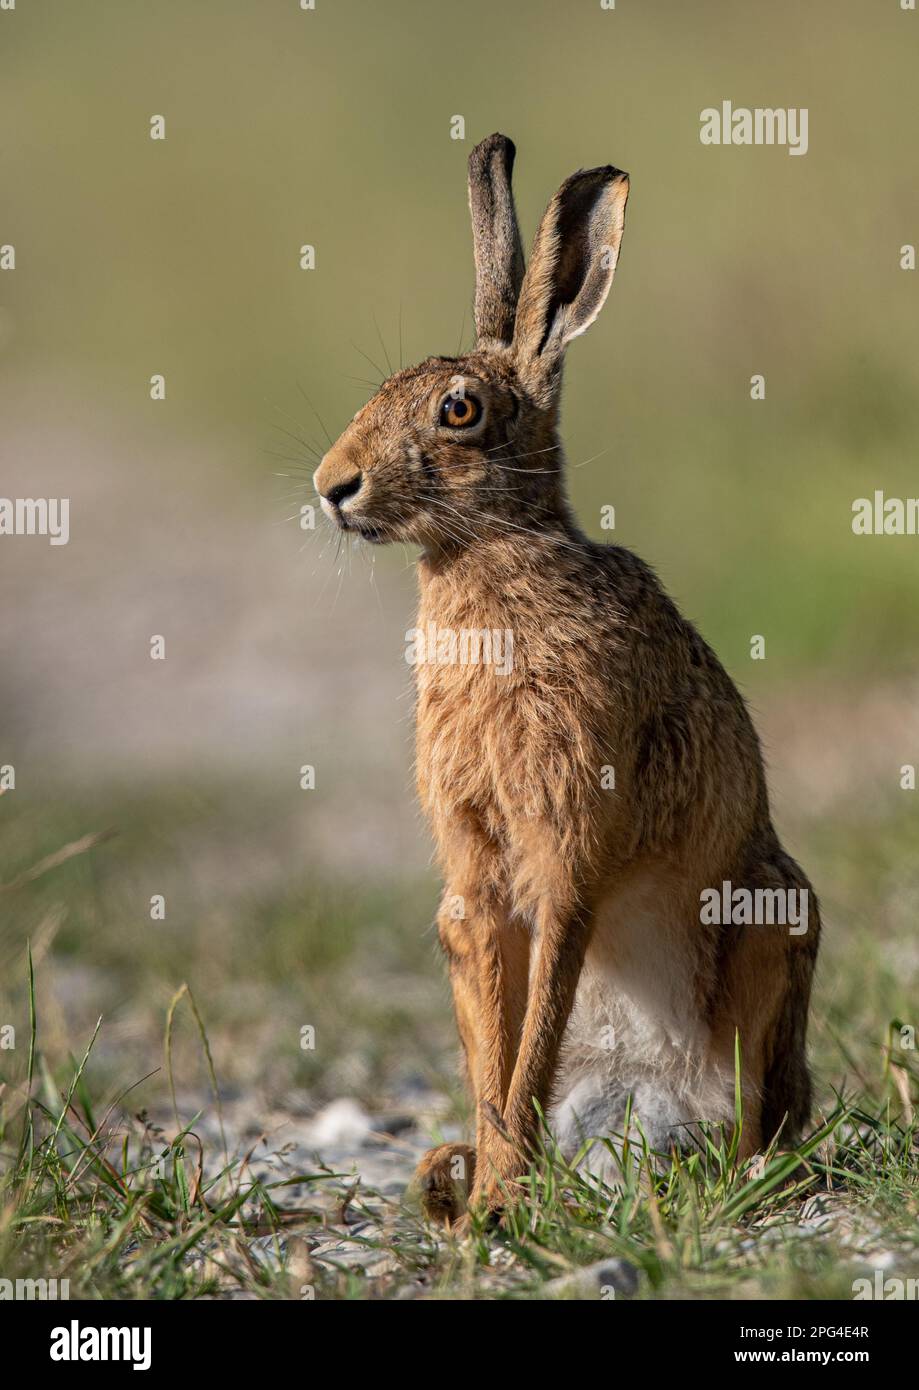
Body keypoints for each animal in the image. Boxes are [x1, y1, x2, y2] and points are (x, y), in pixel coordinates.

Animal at [313, 133, 820, 1226]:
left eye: (459, 410)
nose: (332, 487)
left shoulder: (569, 851)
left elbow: (532, 1032)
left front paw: (498, 1200)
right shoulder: (470, 882)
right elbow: (495, 1050)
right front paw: (489, 1197)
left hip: (773, 930)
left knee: (761, 1109)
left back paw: (734, 1173)